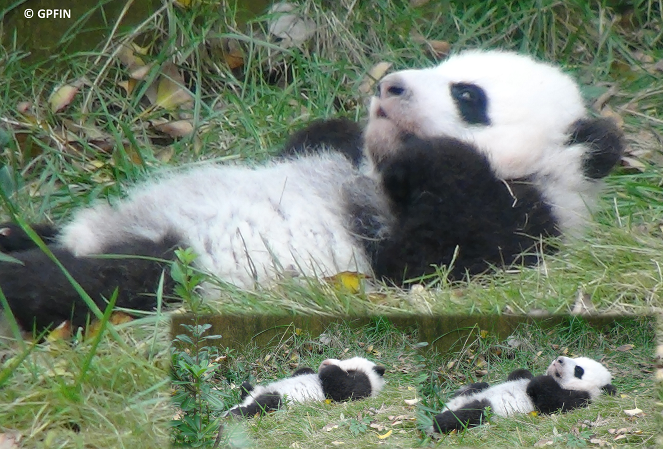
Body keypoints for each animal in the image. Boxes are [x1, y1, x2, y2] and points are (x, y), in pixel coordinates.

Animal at [0, 49, 624, 334]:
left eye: (467, 94)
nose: (389, 85)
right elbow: (316, 141)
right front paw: (347, 130)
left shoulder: (525, 222)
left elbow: (431, 260)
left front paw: (425, 157)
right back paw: (16, 236)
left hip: (191, 272)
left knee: (106, 283)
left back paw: (25, 276)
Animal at [228, 356, 386, 417]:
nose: (325, 361)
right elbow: (304, 370)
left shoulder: (360, 387)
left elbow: (342, 389)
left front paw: (328, 369)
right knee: (250, 392)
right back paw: (245, 387)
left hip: (278, 401)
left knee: (263, 405)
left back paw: (233, 414)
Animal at [432, 356, 617, 433]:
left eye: (579, 370)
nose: (559, 359)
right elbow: (520, 374)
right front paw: (525, 374)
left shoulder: (580, 398)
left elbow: (552, 400)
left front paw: (541, 379)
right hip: (474, 392)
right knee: (480, 387)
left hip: (489, 411)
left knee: (472, 413)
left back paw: (438, 421)